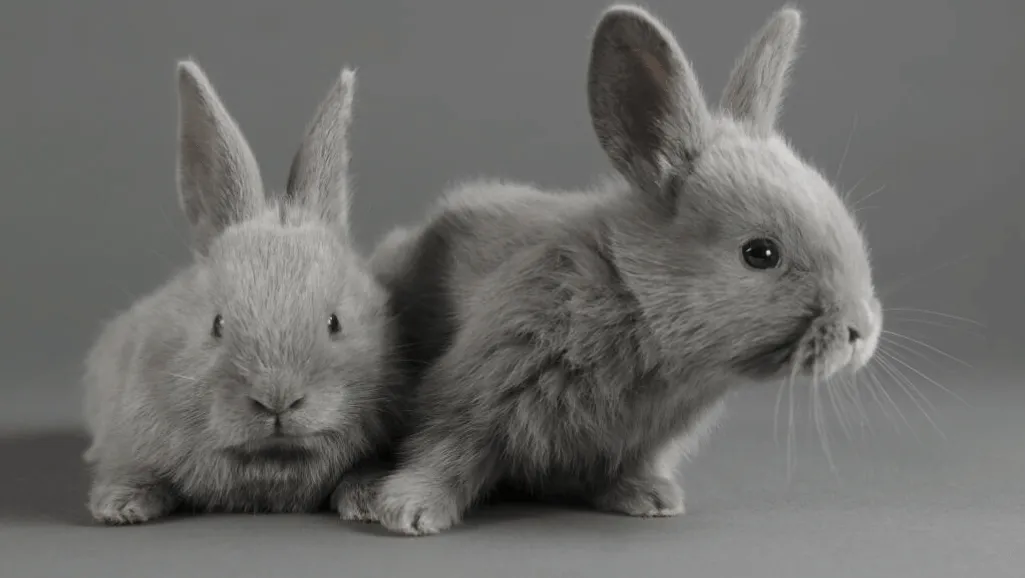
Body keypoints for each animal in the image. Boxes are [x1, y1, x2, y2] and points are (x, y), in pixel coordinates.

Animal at [81, 59, 398, 524]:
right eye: (217, 324)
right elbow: (135, 467)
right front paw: (121, 505)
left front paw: (368, 500)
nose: (277, 400)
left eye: (335, 322)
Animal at [362, 4, 883, 536]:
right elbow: (446, 450)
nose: (861, 330)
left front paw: (653, 499)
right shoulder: (476, 388)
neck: (632, 300)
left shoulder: (642, 442)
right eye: (760, 253)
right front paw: (409, 510)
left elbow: (627, 469)